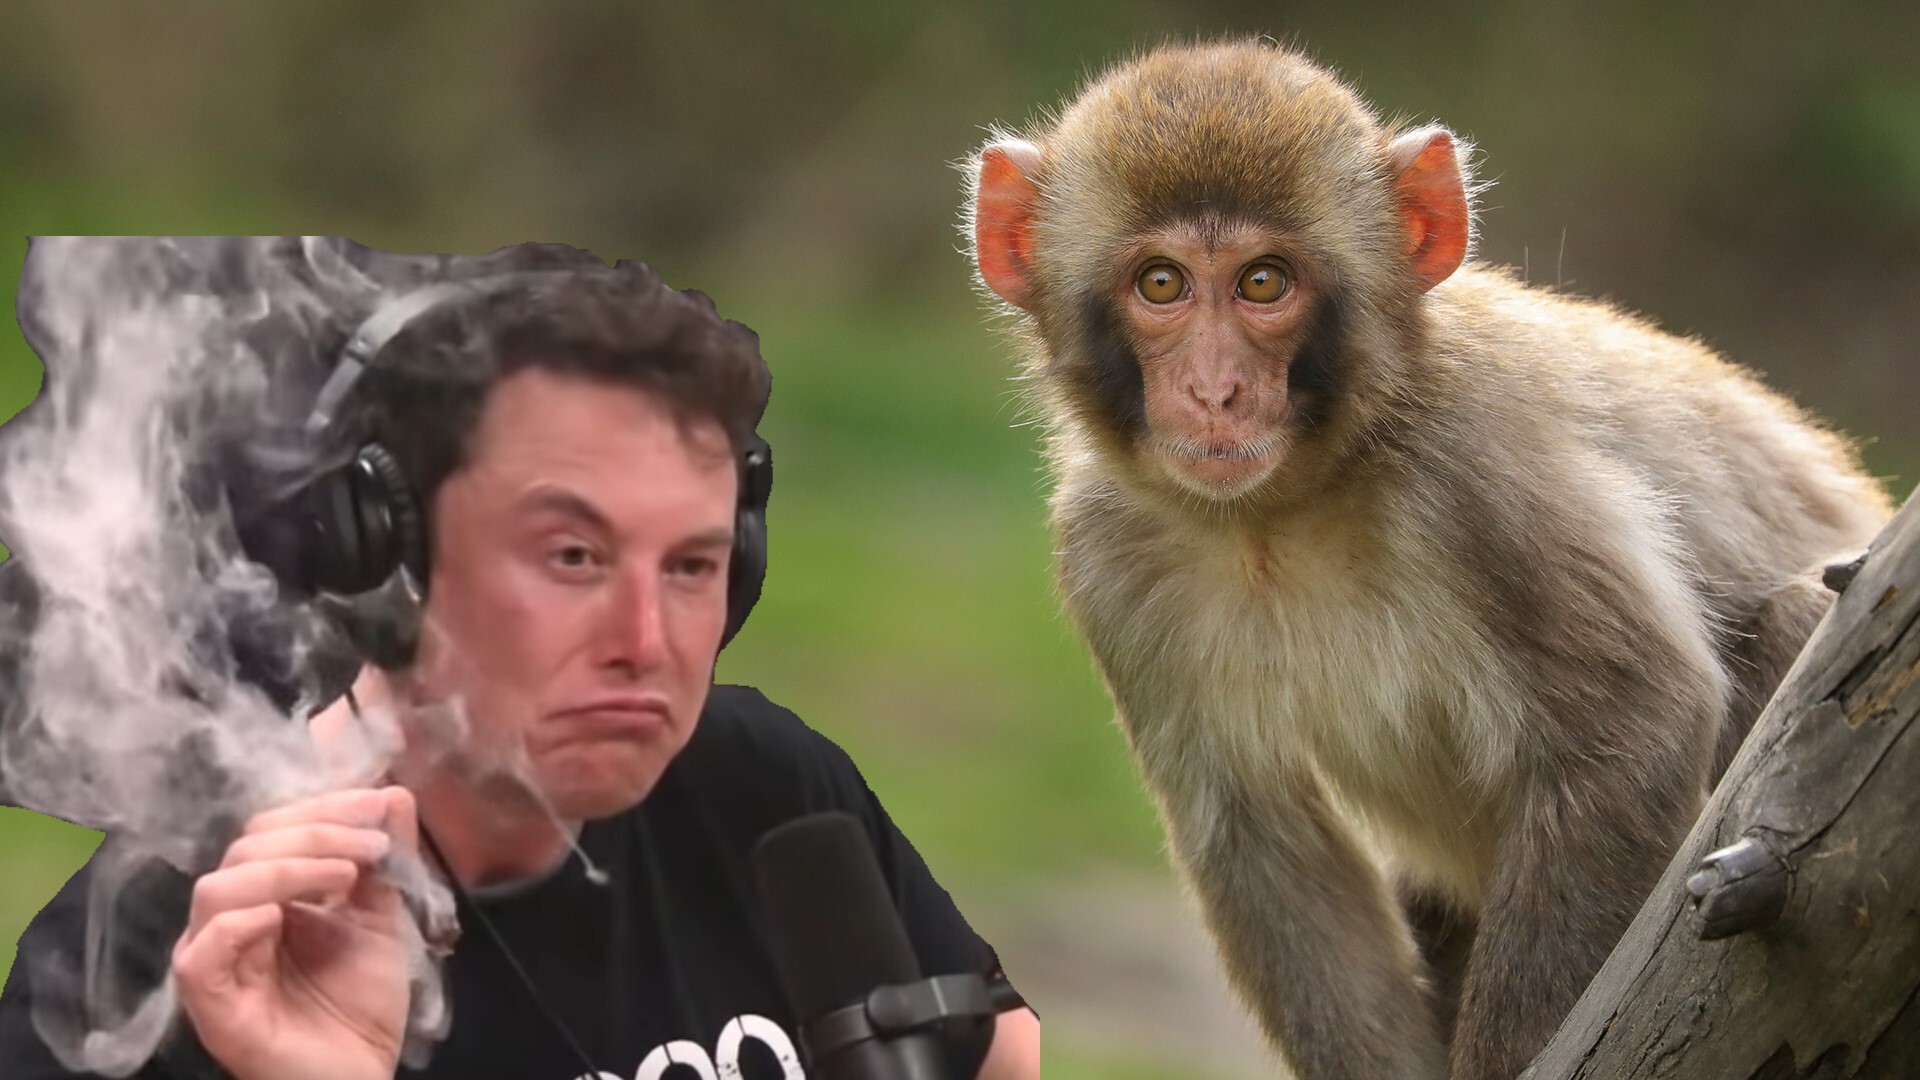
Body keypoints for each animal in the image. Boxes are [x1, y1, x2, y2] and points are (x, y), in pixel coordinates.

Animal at [963, 40, 1893, 1080]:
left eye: (1262, 283)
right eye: (1161, 285)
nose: (1213, 391)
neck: (1279, 512)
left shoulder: (1480, 473)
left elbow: (1633, 726)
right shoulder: (1109, 557)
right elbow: (1260, 844)